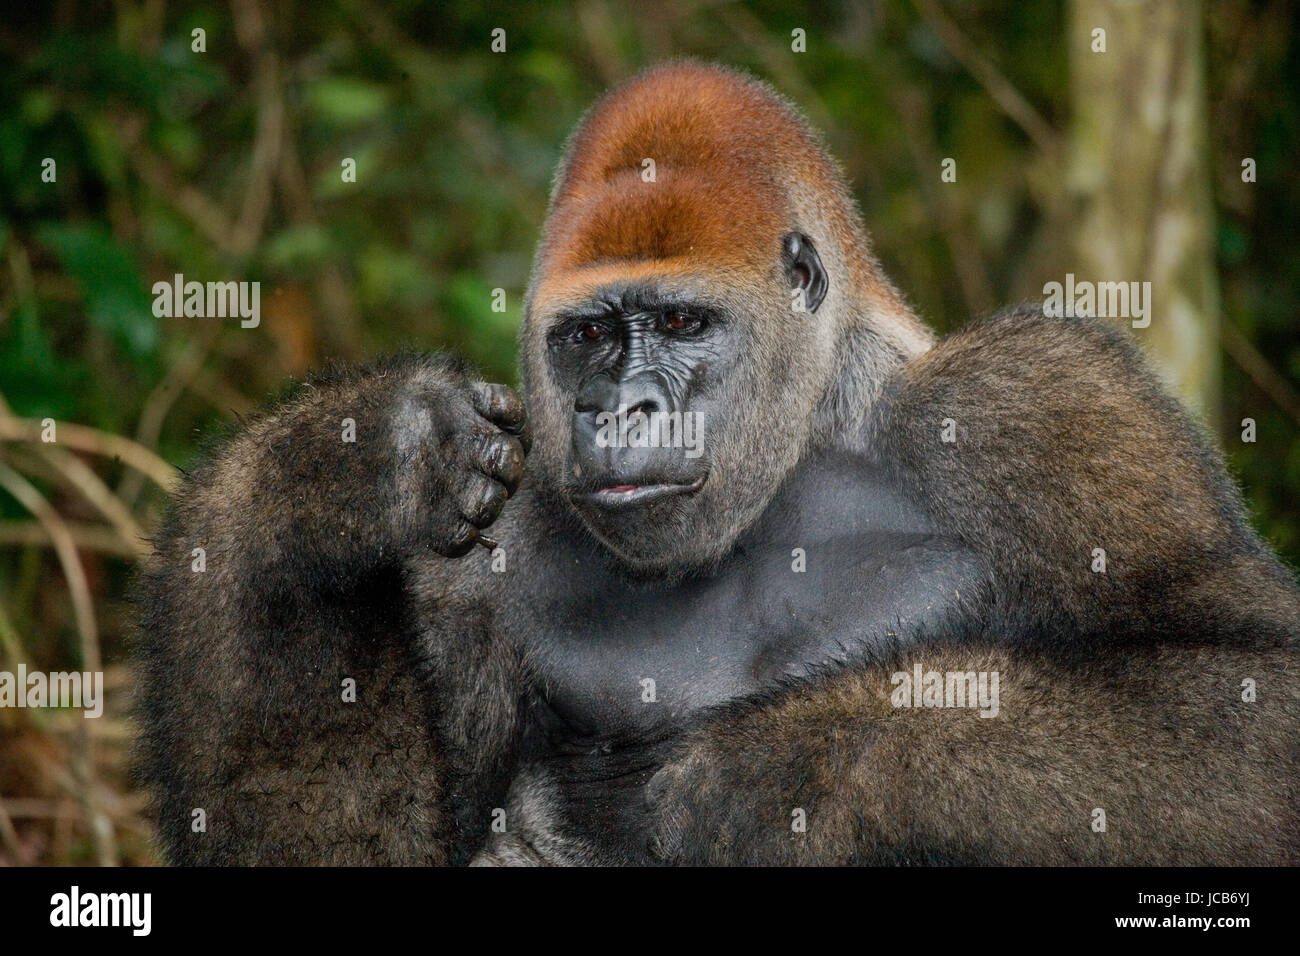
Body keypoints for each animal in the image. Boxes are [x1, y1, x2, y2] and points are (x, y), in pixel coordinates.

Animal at [136, 61, 1299, 866]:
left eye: (683, 321)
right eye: (589, 337)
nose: (627, 410)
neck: (810, 426)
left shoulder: (1047, 401)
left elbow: (1253, 700)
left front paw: (781, 770)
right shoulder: (485, 541)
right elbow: (349, 843)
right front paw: (341, 471)